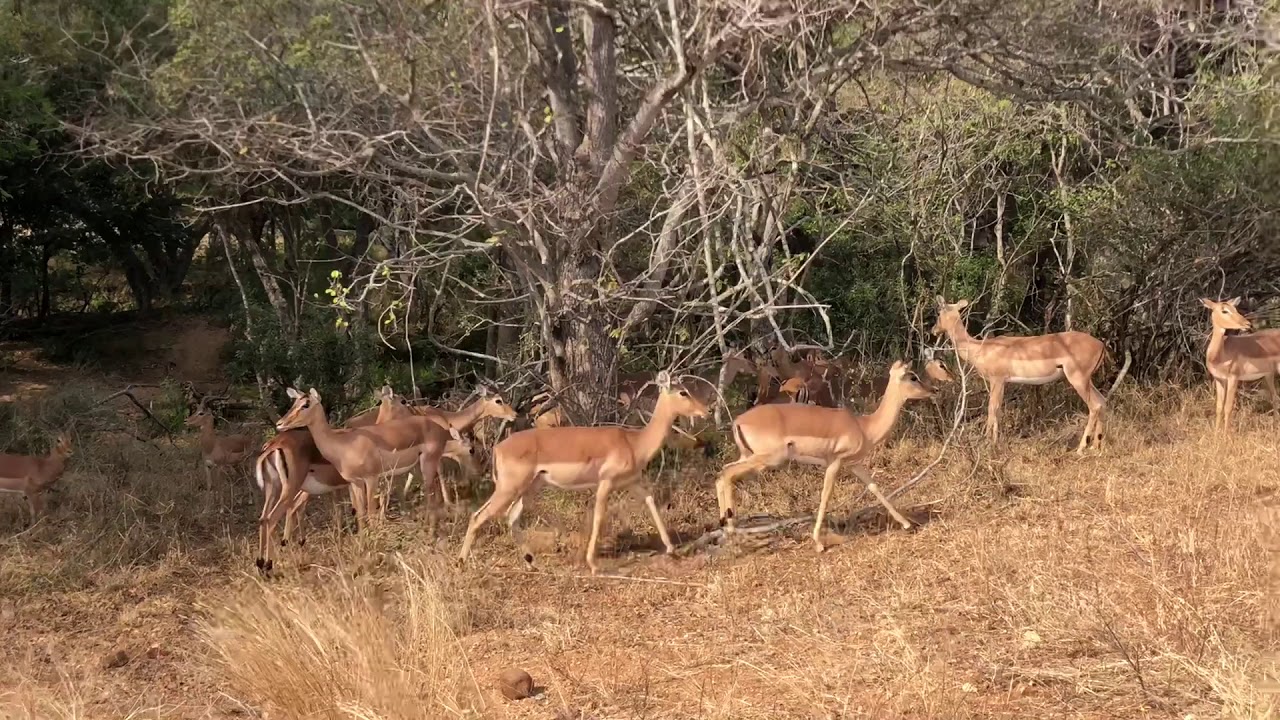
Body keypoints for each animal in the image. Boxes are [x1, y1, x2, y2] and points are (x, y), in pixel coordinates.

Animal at [459, 371, 709, 574]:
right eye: (683, 392)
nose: (706, 410)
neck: (634, 442)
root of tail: (498, 448)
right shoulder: (605, 483)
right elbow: (599, 517)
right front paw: (593, 564)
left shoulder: (632, 482)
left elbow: (651, 501)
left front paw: (671, 548)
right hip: (509, 488)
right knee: (478, 516)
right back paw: (462, 562)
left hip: (529, 488)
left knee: (510, 517)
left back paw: (531, 562)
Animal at [715, 361, 931, 552]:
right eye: (913, 376)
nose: (932, 390)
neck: (864, 427)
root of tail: (738, 421)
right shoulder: (834, 462)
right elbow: (825, 497)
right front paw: (818, 543)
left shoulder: (853, 464)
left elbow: (874, 486)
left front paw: (907, 524)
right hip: (766, 460)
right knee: (728, 474)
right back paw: (731, 530)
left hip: (748, 456)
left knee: (721, 474)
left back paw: (726, 528)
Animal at [932, 297, 1107, 453]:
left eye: (939, 312)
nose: (934, 330)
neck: (981, 348)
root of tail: (1101, 345)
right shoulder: (1003, 382)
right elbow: (998, 409)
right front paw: (995, 442)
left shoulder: (997, 380)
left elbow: (992, 408)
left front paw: (987, 443)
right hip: (1087, 381)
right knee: (1102, 401)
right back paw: (1095, 447)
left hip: (1078, 379)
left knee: (1094, 406)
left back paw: (1081, 448)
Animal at [1201, 297, 1280, 431]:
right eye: (1224, 310)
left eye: (1235, 308)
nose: (1248, 324)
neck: (1220, 355)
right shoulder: (1219, 380)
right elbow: (1219, 408)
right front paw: (1216, 435)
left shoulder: (1233, 378)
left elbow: (1228, 408)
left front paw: (1226, 435)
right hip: (1268, 375)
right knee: (1275, 398)